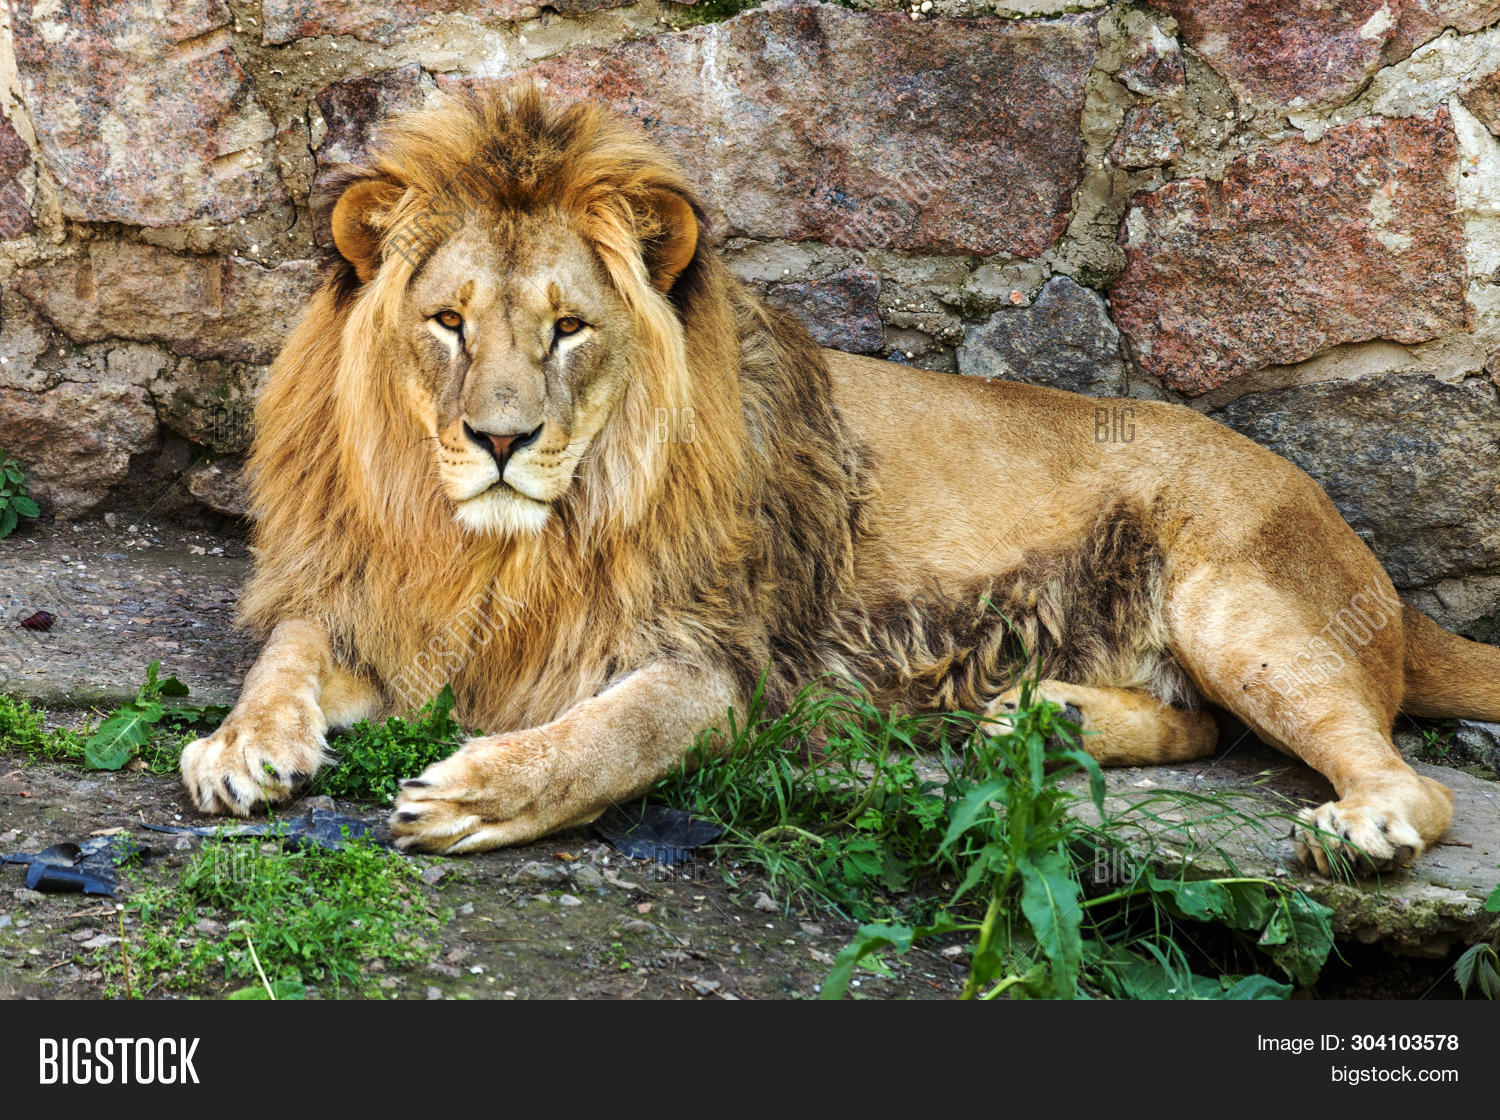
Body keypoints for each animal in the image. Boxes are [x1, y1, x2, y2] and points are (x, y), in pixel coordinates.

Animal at [181, 85, 1500, 876]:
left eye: (568, 329)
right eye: (448, 321)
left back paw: (1363, 824)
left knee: (1410, 774)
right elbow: (285, 653)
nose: (500, 441)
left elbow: (608, 737)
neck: (503, 546)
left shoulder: (716, 661)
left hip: (1239, 604)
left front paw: (475, 793)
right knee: (1199, 724)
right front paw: (238, 744)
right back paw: (1040, 715)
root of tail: (1362, 553)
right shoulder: (377, 602)